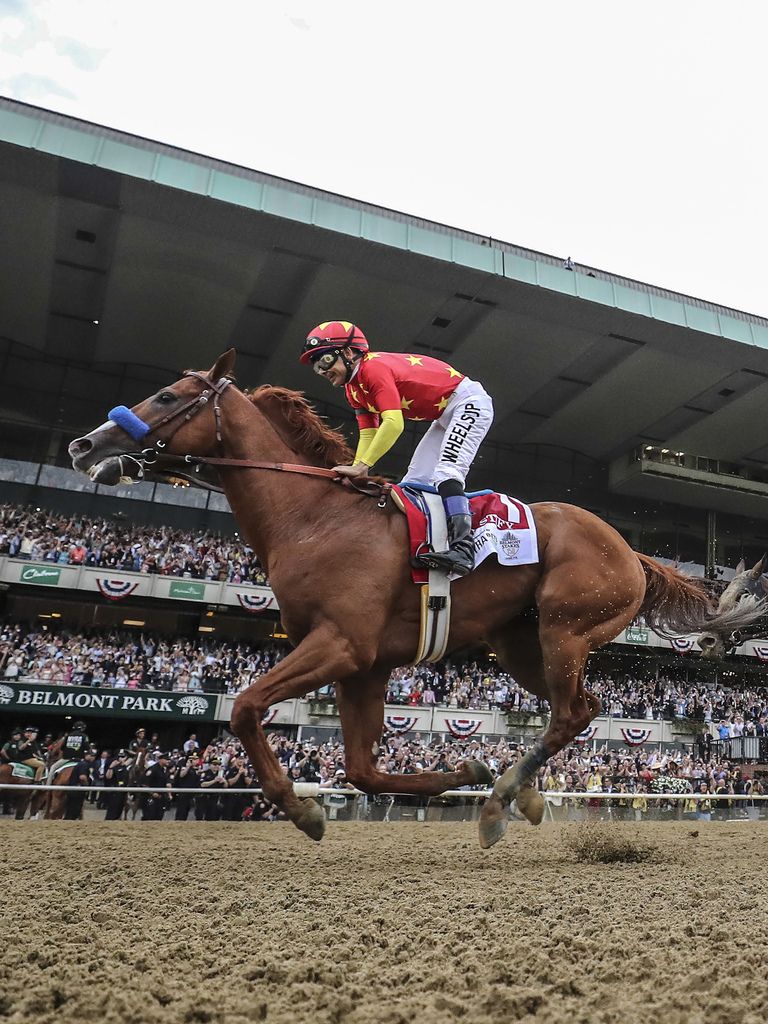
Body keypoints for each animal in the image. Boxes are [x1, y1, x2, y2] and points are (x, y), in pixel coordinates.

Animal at [67, 350, 765, 848]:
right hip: (521, 643)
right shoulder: (365, 665)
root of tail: (631, 550)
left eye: (167, 395)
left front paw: (301, 808)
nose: (84, 445)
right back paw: (516, 791)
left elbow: (243, 708)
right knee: (582, 709)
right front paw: (468, 773)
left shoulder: (341, 645)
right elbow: (361, 770)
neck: (314, 515)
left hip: (565, 628)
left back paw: (500, 801)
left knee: (570, 711)